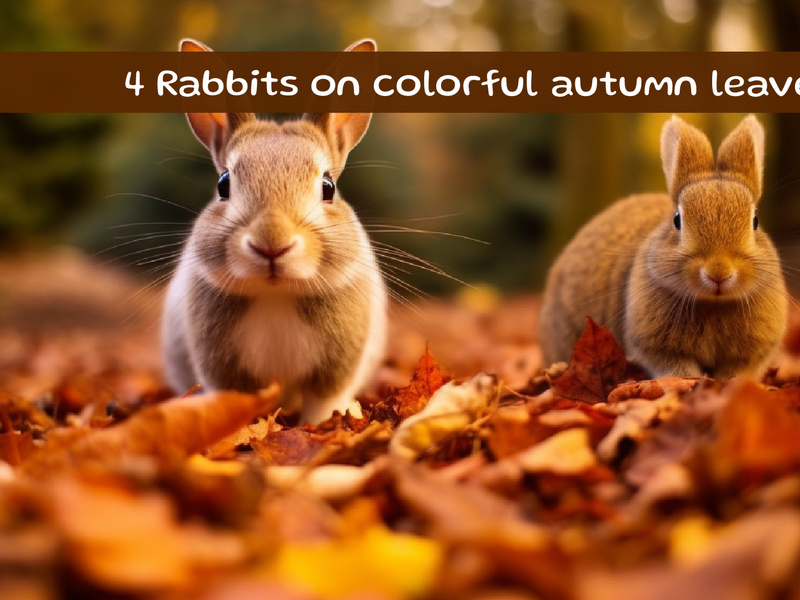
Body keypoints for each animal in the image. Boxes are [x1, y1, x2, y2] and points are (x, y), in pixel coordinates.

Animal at [162, 38, 387, 424]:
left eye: (328, 187)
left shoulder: (336, 368)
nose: (272, 244)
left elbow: (324, 403)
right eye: (223, 185)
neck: (276, 293)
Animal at [540, 115, 788, 380]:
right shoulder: (656, 347)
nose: (718, 272)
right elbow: (676, 367)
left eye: (755, 221)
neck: (713, 303)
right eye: (677, 220)